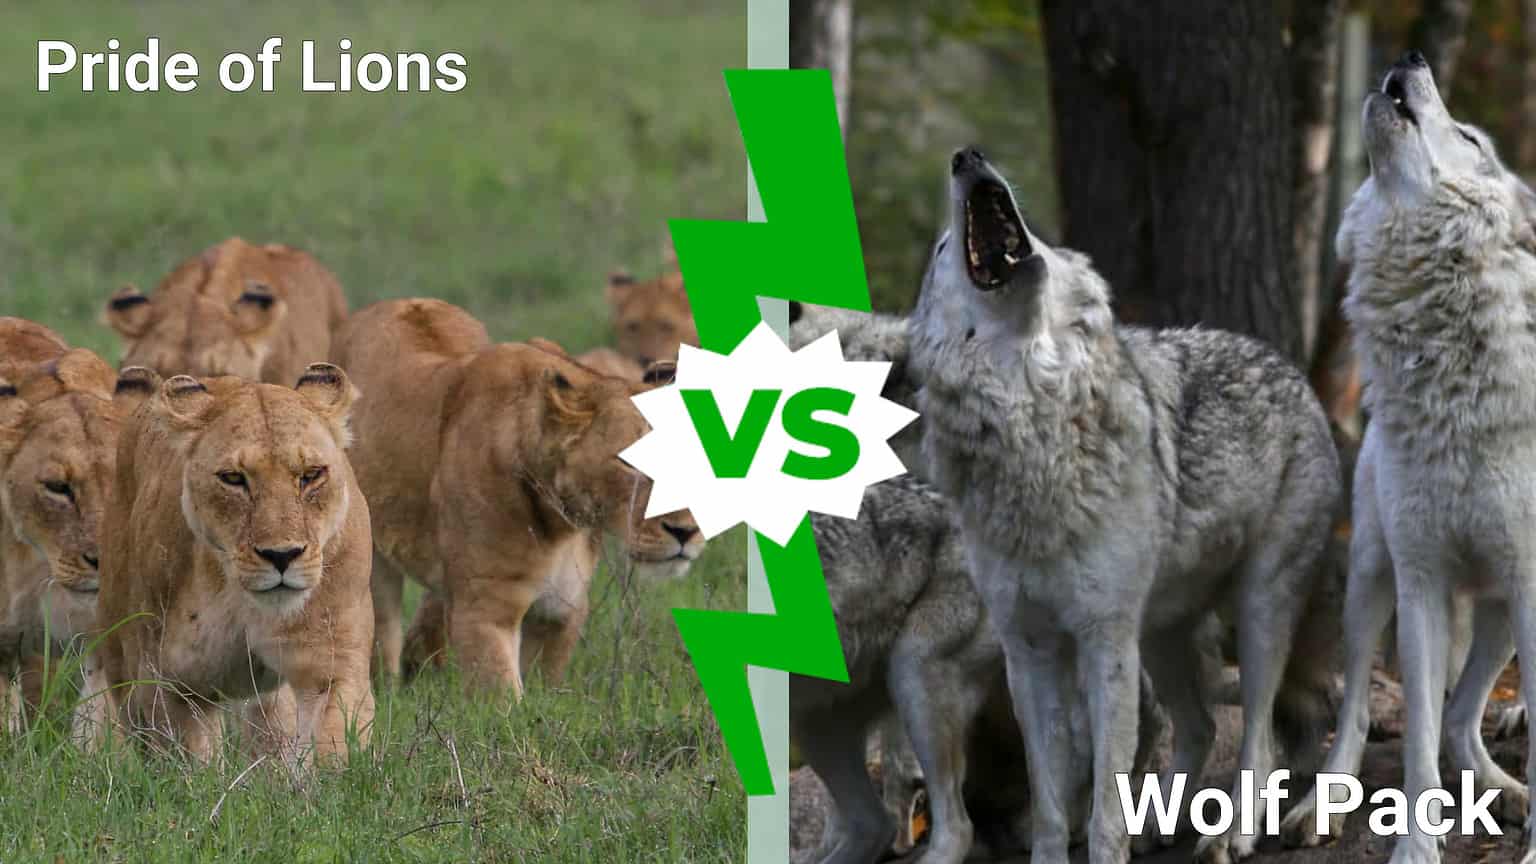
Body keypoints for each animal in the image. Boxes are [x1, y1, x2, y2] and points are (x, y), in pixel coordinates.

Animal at [93, 364, 374, 765]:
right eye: (233, 478)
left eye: (311, 475)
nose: (282, 555)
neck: (240, 597)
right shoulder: (172, 682)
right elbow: (188, 758)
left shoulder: (329, 660)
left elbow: (333, 744)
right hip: (121, 649)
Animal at [330, 298, 702, 695]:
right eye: (627, 460)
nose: (686, 532)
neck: (565, 525)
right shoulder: (486, 610)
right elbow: (505, 700)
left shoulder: (561, 610)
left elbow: (546, 692)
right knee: (380, 627)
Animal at [907, 148, 1342, 864]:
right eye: (945, 248)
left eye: (1040, 233)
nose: (966, 156)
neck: (1035, 426)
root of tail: (1287, 365)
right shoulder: (1030, 653)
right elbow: (1050, 800)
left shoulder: (1103, 638)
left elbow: (1104, 799)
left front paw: (1109, 846)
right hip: (1160, 635)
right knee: (1199, 726)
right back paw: (1161, 824)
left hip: (1257, 612)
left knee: (1258, 736)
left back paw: (1234, 833)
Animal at [1278, 51, 1536, 864]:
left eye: (1471, 139)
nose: (1411, 58)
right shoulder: (1421, 582)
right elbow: (1417, 744)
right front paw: (1417, 850)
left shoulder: (1528, 586)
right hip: (1370, 577)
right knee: (1365, 712)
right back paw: (1321, 804)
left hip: (1496, 611)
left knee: (1462, 715)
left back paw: (1504, 789)